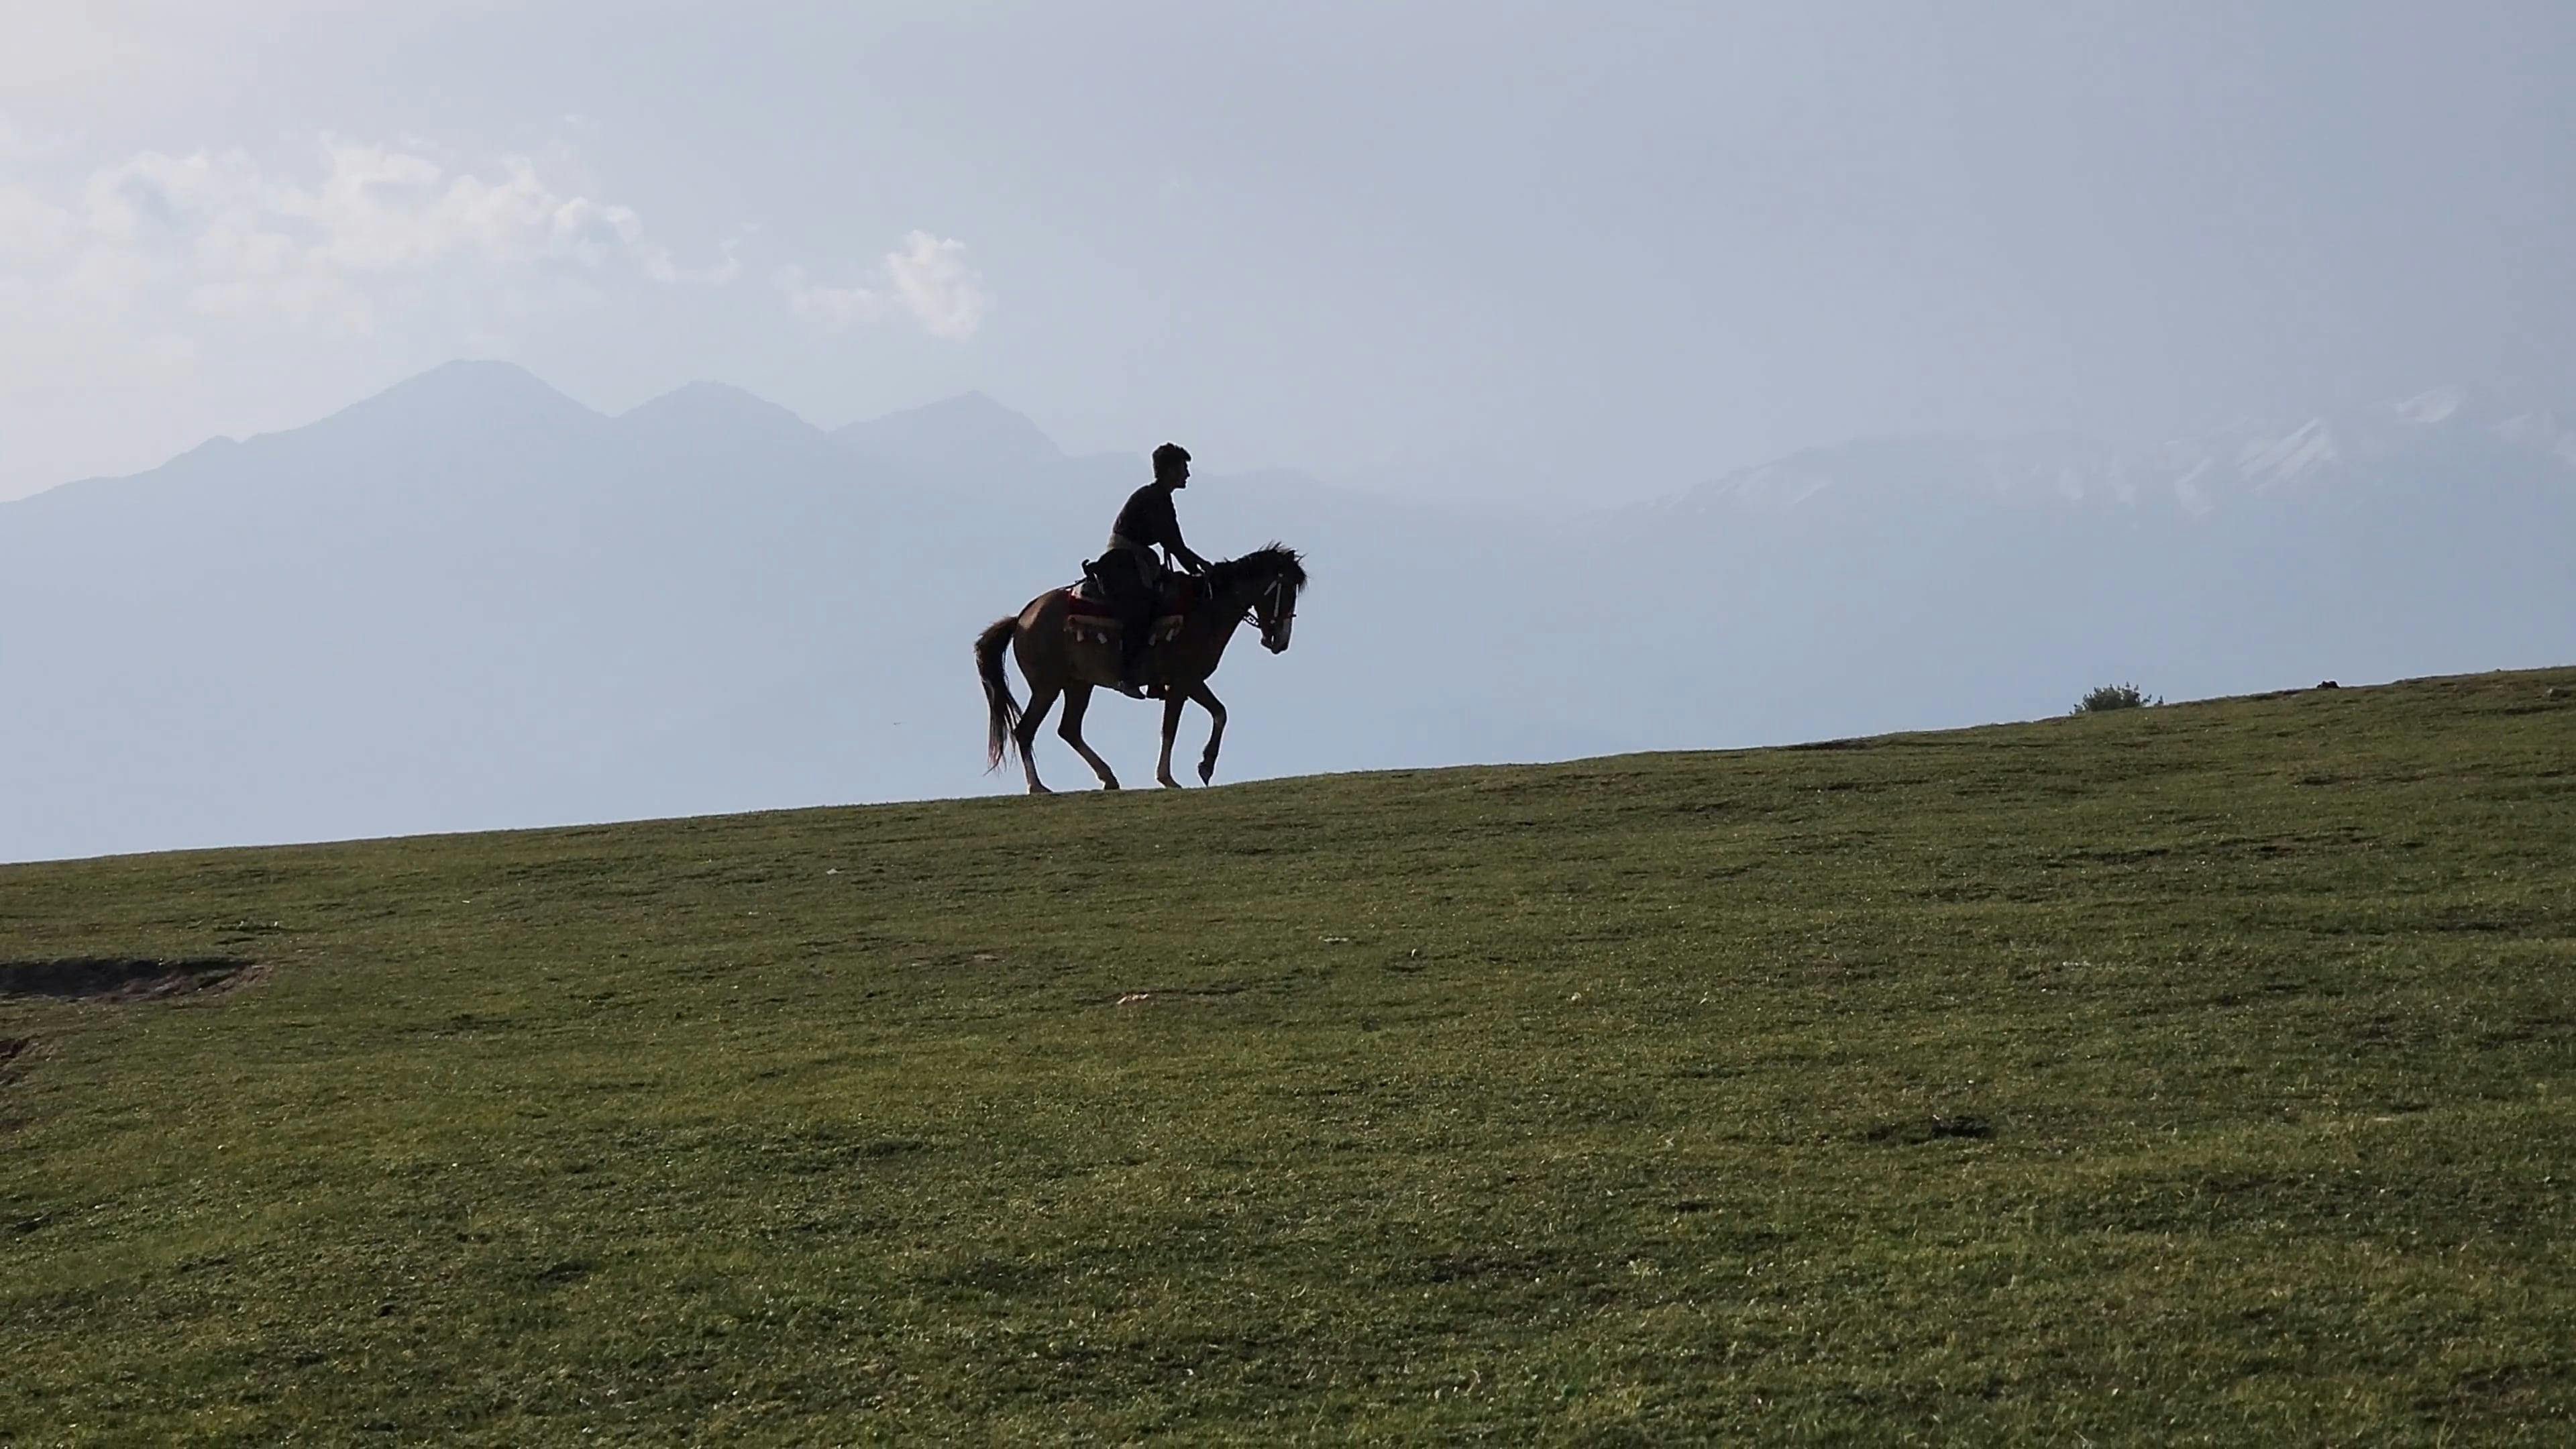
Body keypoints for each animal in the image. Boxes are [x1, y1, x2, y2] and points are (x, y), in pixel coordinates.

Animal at [974, 545, 1307, 793]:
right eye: (1285, 591)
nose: (1281, 641)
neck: (1205, 609)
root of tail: (1022, 618)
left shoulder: (1191, 681)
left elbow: (1220, 713)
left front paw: (1206, 765)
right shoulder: (1182, 682)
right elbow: (1170, 727)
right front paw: (1168, 778)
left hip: (1078, 684)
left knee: (1068, 729)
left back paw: (1108, 777)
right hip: (1047, 686)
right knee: (1025, 730)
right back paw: (1038, 787)